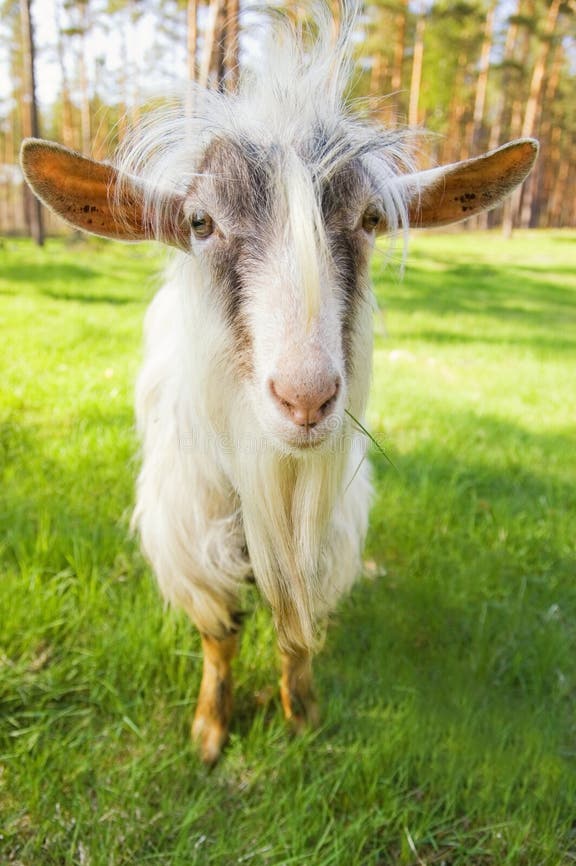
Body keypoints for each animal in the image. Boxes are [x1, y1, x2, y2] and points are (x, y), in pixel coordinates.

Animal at [20, 6, 538, 764]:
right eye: (200, 221)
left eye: (371, 219)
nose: (305, 398)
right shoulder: (191, 537)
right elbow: (220, 637)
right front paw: (210, 733)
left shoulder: (325, 535)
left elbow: (296, 637)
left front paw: (303, 716)